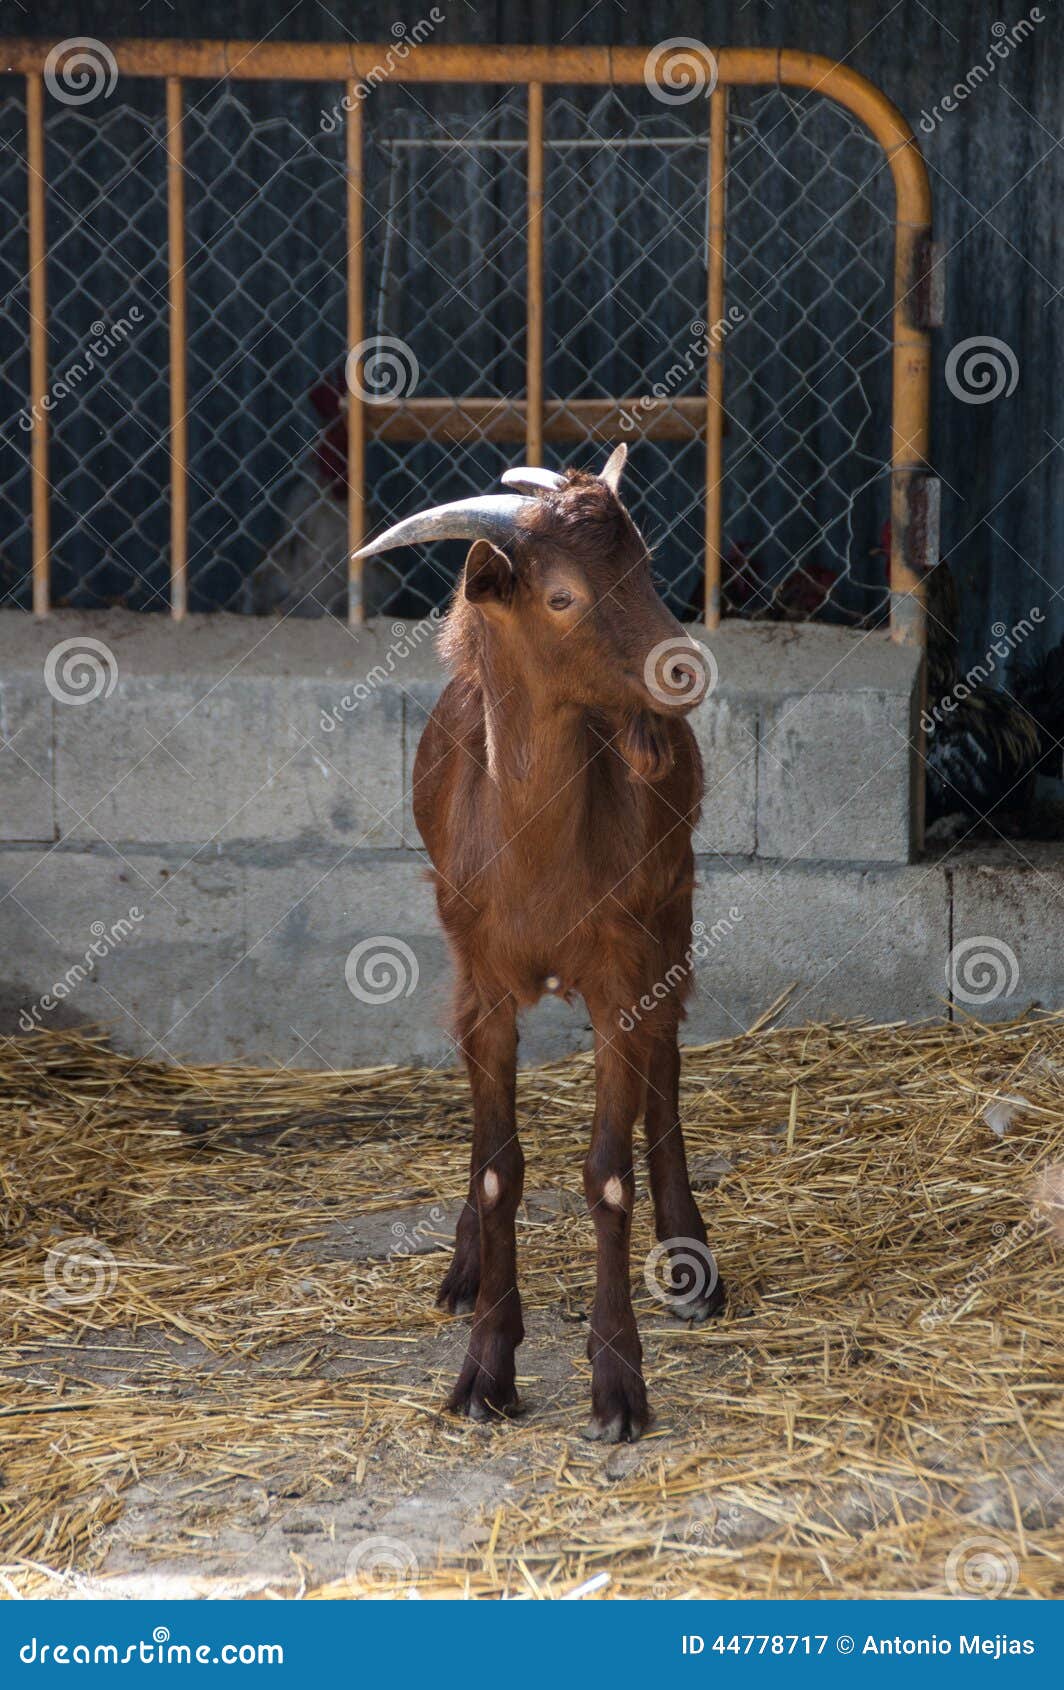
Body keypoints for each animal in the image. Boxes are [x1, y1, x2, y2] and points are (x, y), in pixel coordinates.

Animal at [353, 445, 724, 1442]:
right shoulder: (482, 982)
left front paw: (618, 1386)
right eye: (562, 596)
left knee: (666, 1063)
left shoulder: (622, 974)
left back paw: (690, 1255)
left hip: (672, 908)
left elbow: (607, 1173)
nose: (685, 669)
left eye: (644, 568)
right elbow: (497, 1170)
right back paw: (465, 1268)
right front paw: (485, 1367)